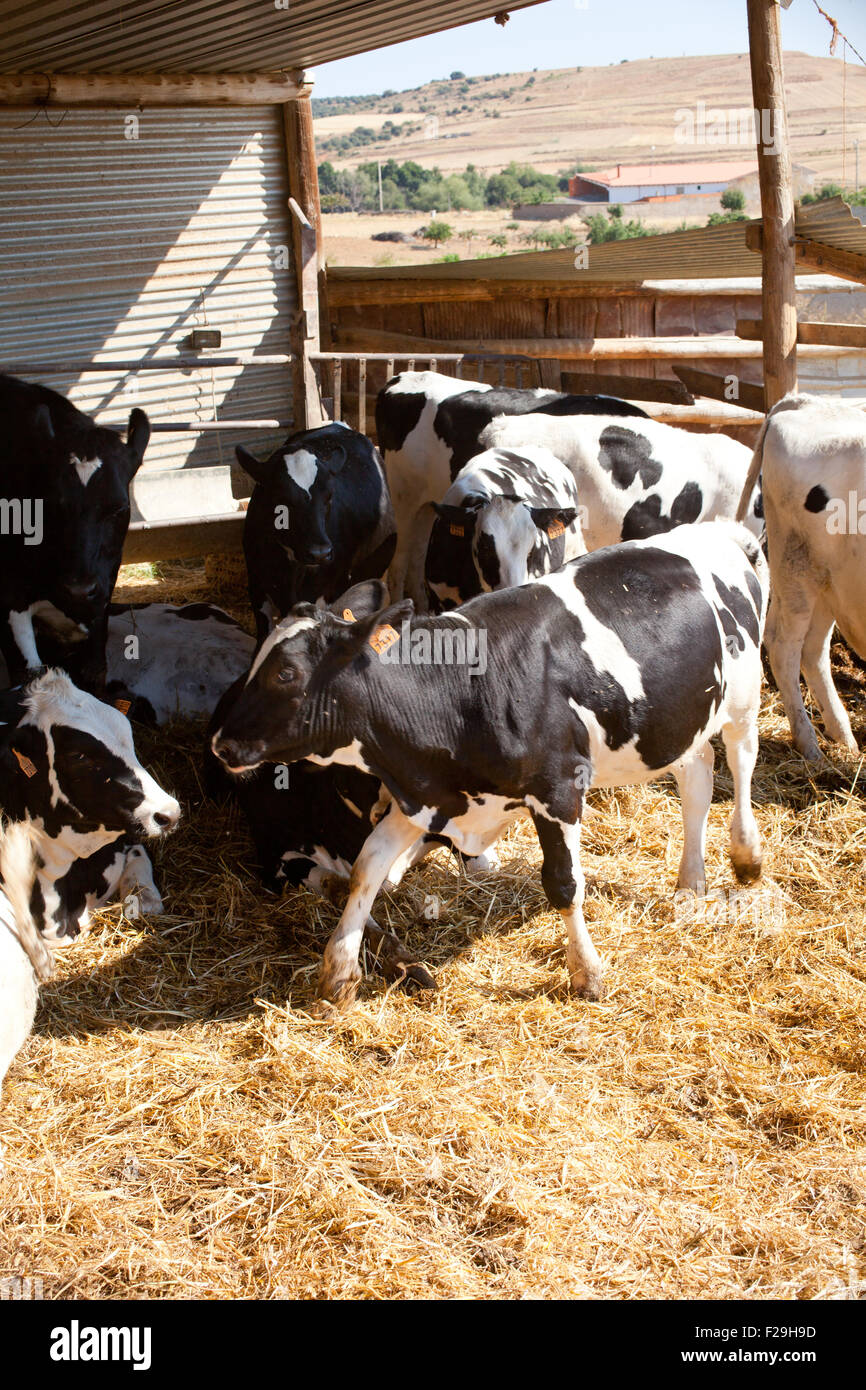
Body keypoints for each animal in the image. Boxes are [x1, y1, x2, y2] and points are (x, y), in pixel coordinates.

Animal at [0, 374, 150, 693]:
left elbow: (95, 672)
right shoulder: (7, 602)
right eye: (47, 504)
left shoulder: (100, 600)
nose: (79, 589)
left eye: (120, 508)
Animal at [212, 522, 768, 1011]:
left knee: (741, 764)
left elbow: (564, 883)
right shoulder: (427, 796)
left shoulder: (558, 788)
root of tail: (720, 531)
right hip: (682, 718)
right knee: (697, 779)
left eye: (286, 673)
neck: (459, 692)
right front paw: (339, 974)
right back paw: (690, 885)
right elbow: (366, 869)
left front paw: (587, 974)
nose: (219, 742)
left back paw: (746, 856)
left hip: (742, 699)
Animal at [736, 393, 866, 762]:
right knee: (783, 645)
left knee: (813, 649)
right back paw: (810, 744)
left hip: (832, 583)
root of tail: (802, 401)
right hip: (797, 567)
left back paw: (843, 737)